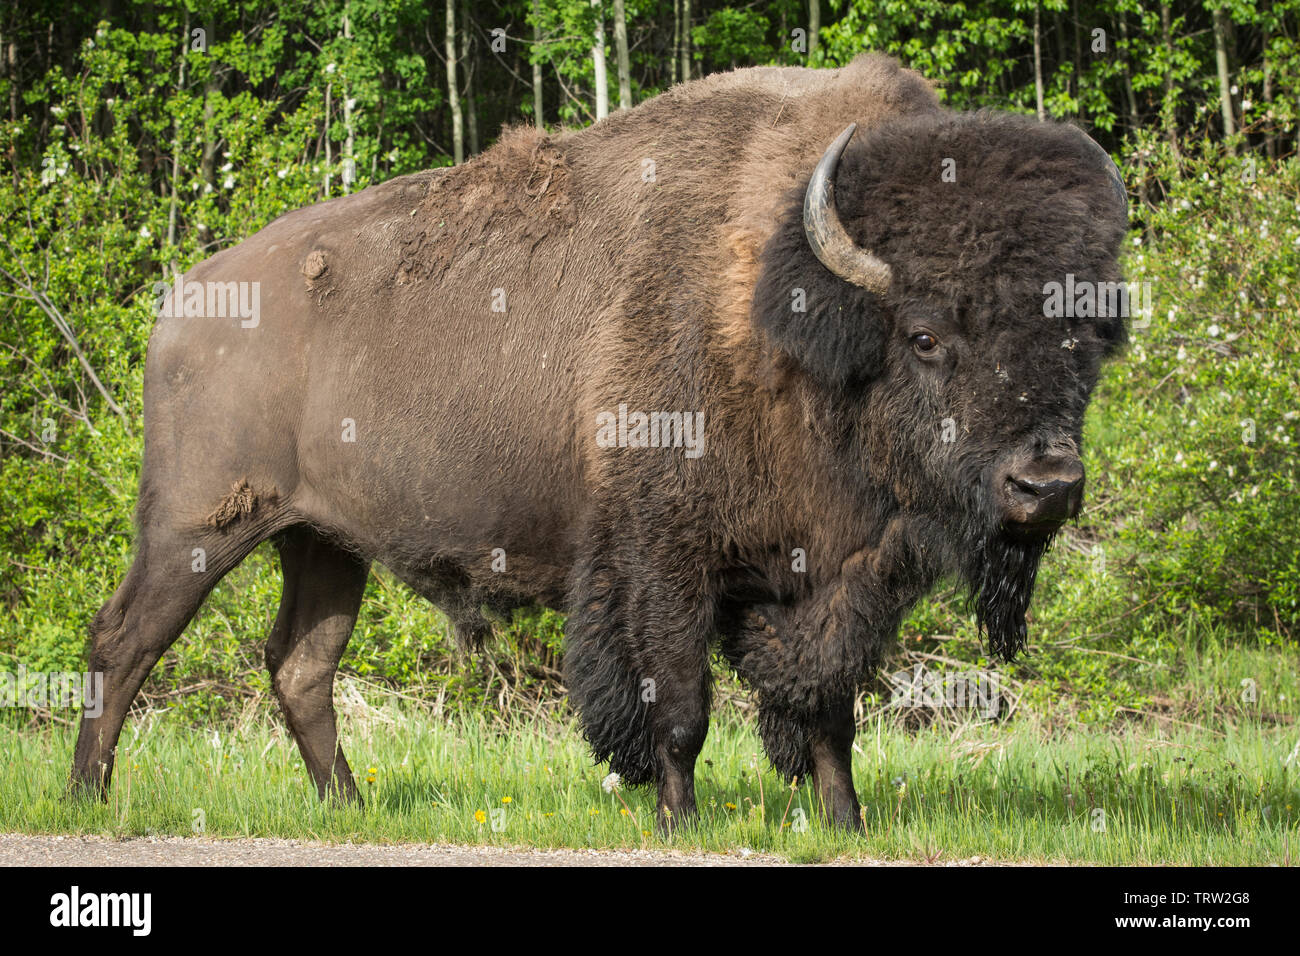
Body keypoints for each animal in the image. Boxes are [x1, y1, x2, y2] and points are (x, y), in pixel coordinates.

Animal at [71, 53, 1128, 832]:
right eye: (925, 335)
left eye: (1080, 337)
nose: (1046, 484)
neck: (789, 314)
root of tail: (183, 299)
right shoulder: (663, 556)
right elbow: (680, 703)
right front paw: (679, 820)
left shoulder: (821, 572)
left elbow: (827, 709)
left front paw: (845, 823)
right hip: (195, 527)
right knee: (121, 642)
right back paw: (89, 797)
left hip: (321, 544)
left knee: (299, 664)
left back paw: (351, 808)